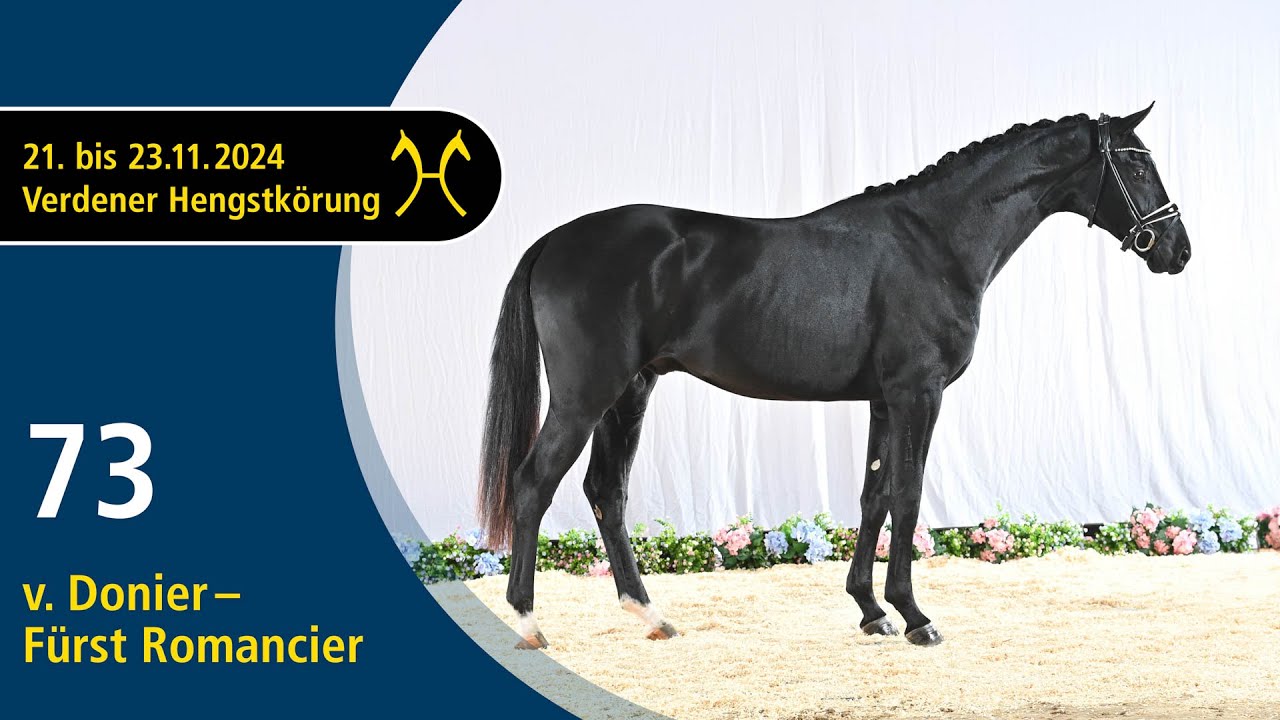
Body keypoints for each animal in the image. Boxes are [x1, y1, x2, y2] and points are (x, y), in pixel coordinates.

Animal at [477, 104, 1190, 649]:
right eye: (1134, 163)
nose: (1177, 250)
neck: (935, 239)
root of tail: (554, 241)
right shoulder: (917, 393)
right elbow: (908, 497)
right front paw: (916, 617)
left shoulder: (882, 400)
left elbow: (874, 496)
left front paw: (871, 611)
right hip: (585, 397)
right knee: (534, 483)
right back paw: (529, 623)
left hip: (630, 392)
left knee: (606, 491)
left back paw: (652, 615)